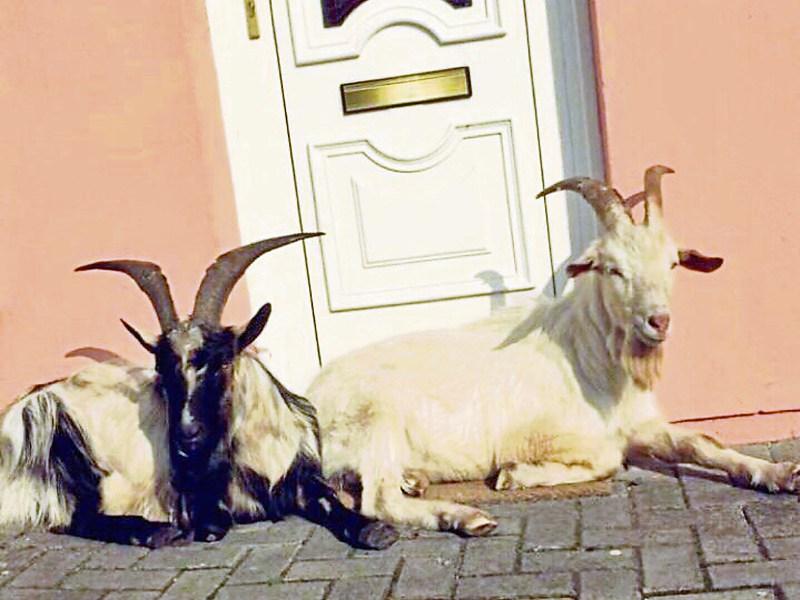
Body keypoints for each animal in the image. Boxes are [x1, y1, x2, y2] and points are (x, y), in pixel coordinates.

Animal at [0, 234, 398, 549]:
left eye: (222, 362)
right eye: (162, 368)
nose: (186, 436)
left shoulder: (301, 474)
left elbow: (331, 501)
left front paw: (374, 530)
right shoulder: (197, 499)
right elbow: (212, 525)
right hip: (59, 434)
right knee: (75, 516)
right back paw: (156, 532)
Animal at [307, 165, 800, 536]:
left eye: (673, 263)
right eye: (612, 269)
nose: (658, 321)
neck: (587, 356)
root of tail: (307, 398)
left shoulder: (640, 423)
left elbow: (701, 442)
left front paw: (779, 473)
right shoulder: (535, 435)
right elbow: (606, 460)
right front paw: (515, 474)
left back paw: (416, 479)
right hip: (375, 419)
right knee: (376, 498)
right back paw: (464, 515)